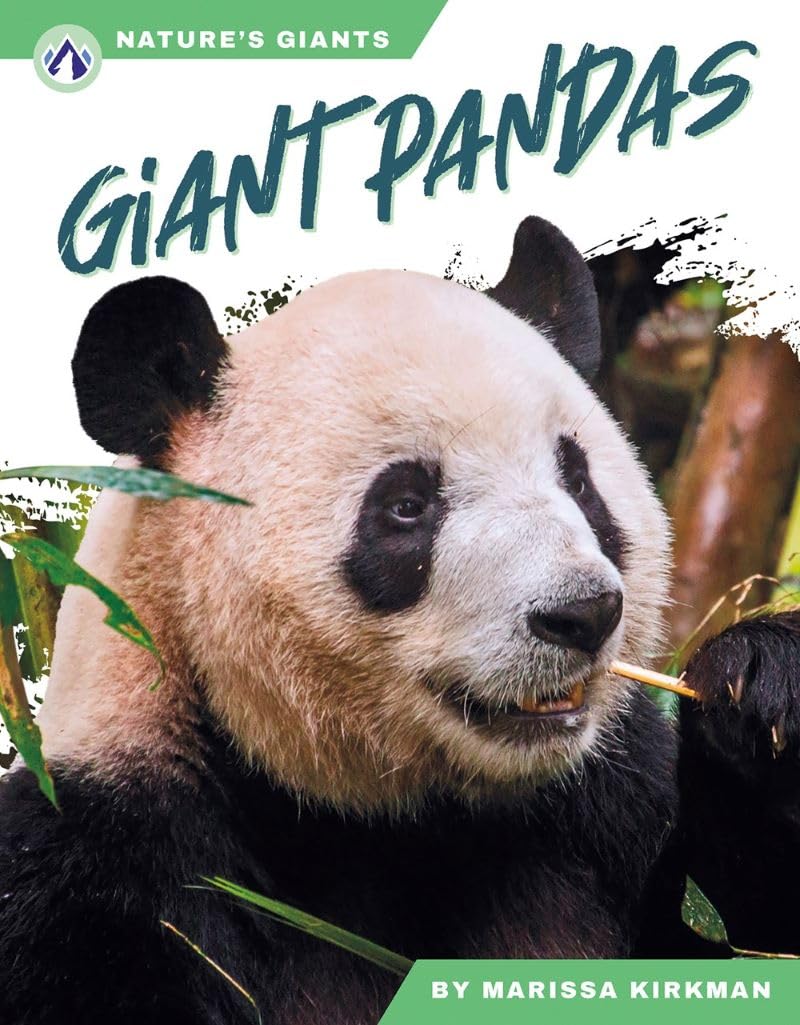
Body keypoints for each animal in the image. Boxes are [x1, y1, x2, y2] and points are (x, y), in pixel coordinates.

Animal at [1, 216, 799, 1025]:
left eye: (578, 480)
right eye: (407, 506)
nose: (583, 614)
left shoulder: (612, 809)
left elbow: (746, 932)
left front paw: (760, 685)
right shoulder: (108, 865)